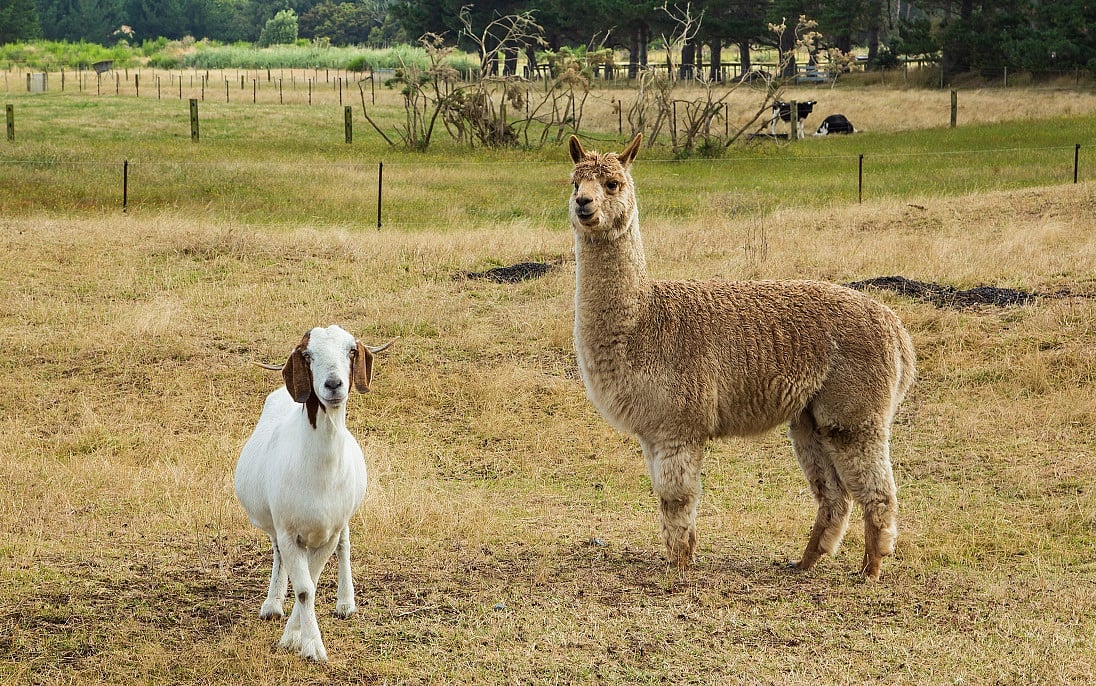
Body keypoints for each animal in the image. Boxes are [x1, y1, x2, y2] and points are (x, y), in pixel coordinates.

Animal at [234, 325, 395, 661]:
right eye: (307, 355)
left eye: (351, 350)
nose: (333, 384)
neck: (319, 472)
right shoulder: (288, 531)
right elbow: (304, 587)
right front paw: (309, 645)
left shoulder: (329, 532)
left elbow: (313, 580)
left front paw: (296, 638)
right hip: (275, 525)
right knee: (278, 555)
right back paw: (272, 604)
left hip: (342, 520)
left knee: (345, 545)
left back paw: (346, 603)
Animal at [568, 133, 916, 580]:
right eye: (575, 182)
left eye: (613, 184)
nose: (584, 204)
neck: (644, 321)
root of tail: (896, 328)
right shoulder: (653, 429)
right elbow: (666, 495)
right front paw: (680, 555)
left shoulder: (681, 423)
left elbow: (677, 497)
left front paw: (678, 564)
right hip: (811, 418)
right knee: (834, 493)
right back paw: (804, 562)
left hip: (854, 411)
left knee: (877, 490)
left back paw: (870, 568)